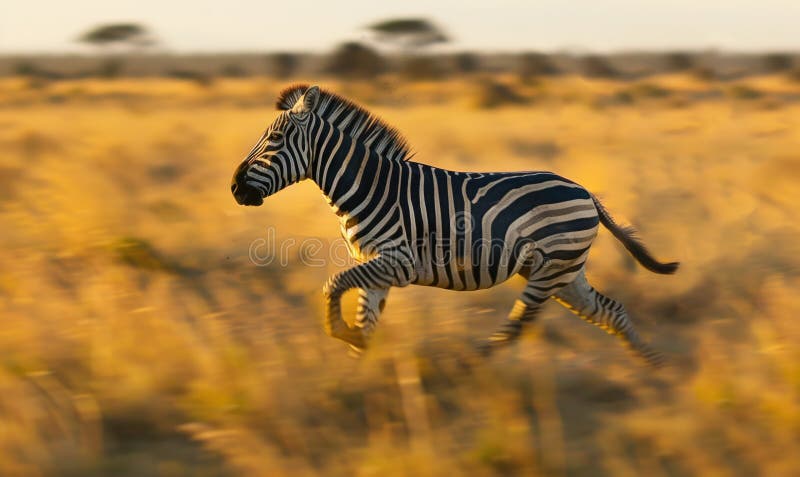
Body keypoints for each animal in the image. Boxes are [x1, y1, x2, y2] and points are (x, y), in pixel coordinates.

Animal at [231, 84, 679, 366]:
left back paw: (472, 365)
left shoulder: (399, 262)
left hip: (551, 270)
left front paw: (341, 334)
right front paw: (357, 370)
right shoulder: (377, 267)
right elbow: (366, 319)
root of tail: (584, 190)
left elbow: (333, 283)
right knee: (610, 311)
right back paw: (654, 370)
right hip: (564, 272)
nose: (235, 188)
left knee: (520, 323)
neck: (370, 185)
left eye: (275, 140)